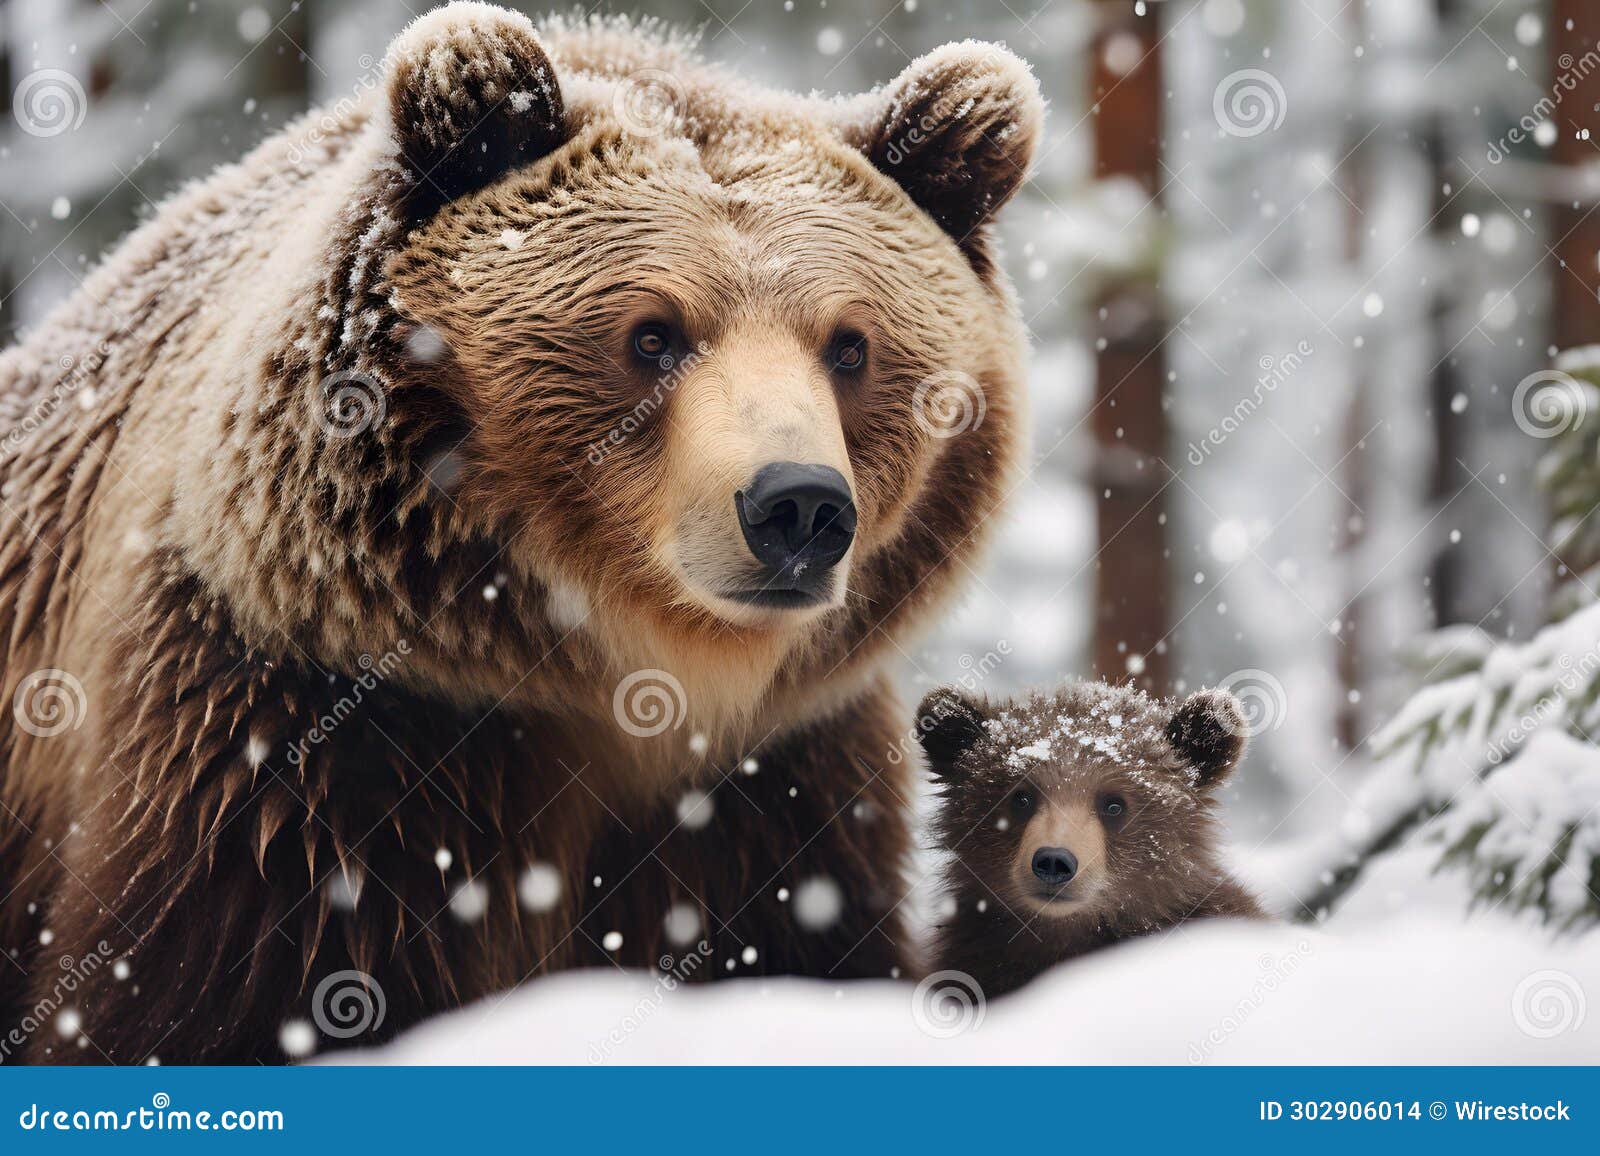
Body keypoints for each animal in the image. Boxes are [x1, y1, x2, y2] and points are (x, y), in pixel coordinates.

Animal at [0, 4, 1042, 1062]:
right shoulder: (285, 750)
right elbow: (214, 993)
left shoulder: (781, 792)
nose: (798, 507)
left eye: (849, 344)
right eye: (652, 333)